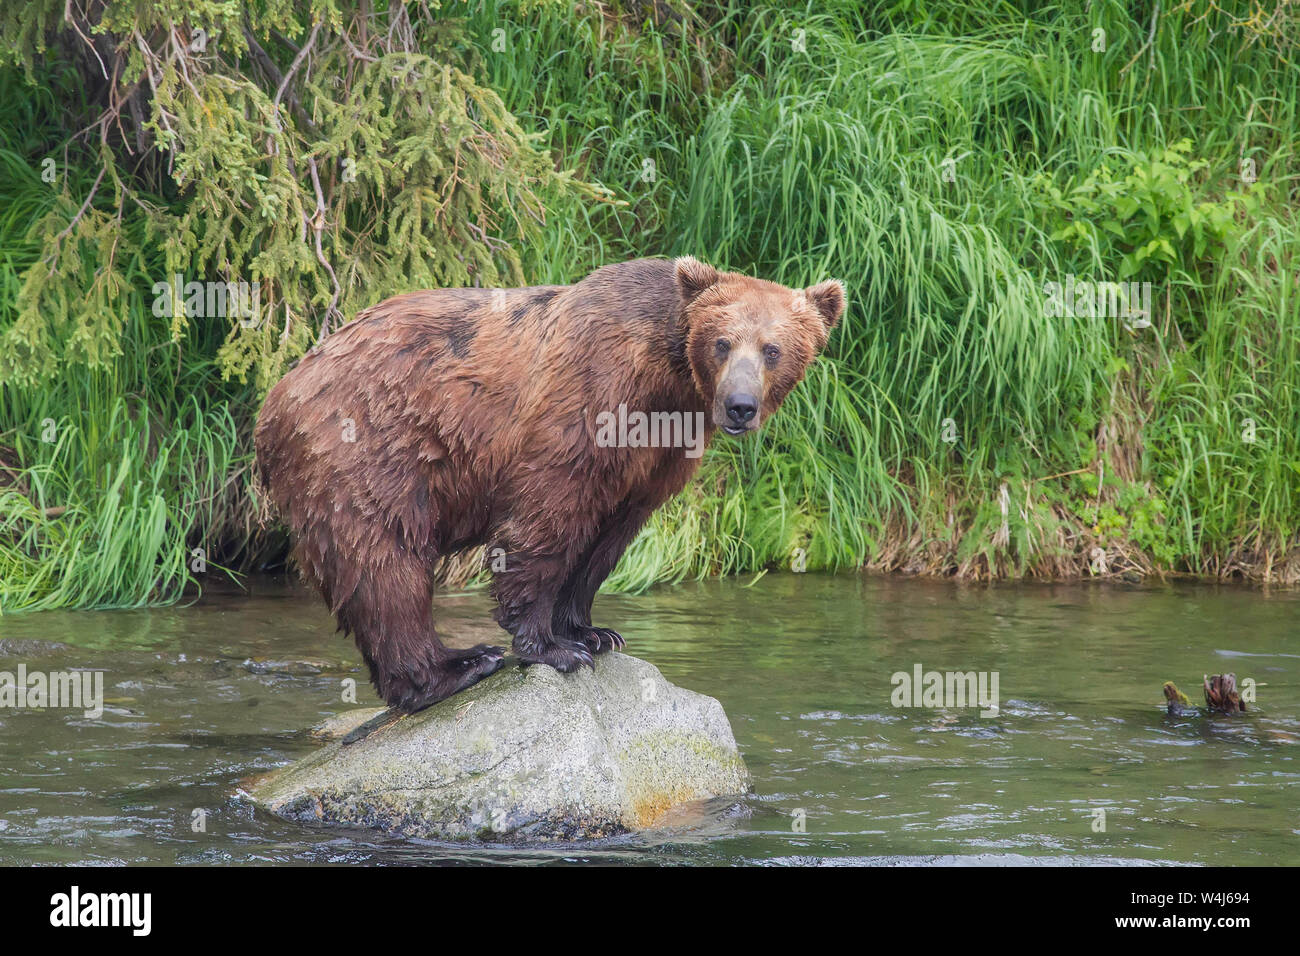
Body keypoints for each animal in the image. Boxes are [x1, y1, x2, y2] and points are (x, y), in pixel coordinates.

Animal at [254, 256, 845, 712]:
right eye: (722, 342)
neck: (667, 383)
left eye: (773, 349)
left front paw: (593, 632)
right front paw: (551, 646)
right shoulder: (591, 396)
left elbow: (608, 537)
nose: (740, 406)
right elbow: (550, 512)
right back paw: (456, 666)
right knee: (383, 559)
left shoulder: (658, 456)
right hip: (368, 445)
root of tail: (277, 396)